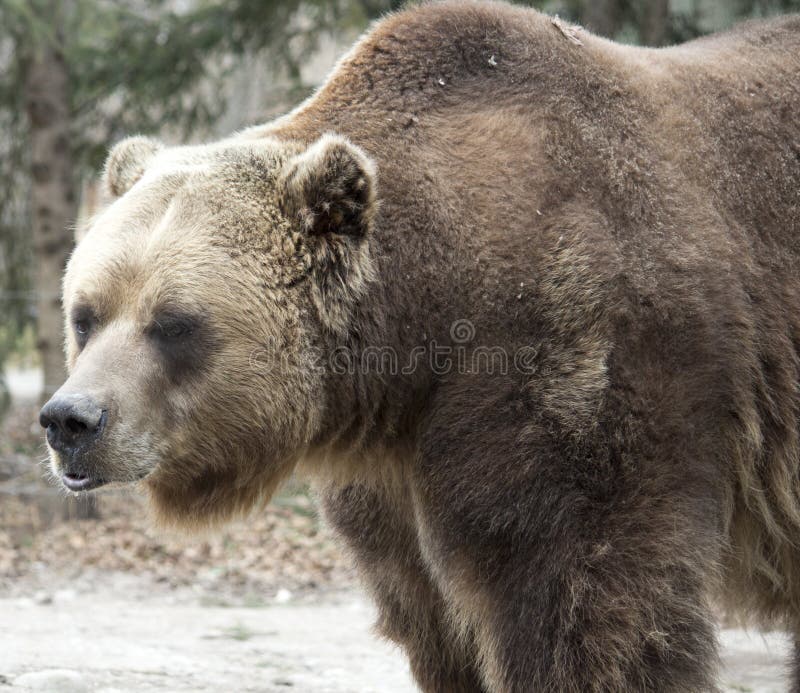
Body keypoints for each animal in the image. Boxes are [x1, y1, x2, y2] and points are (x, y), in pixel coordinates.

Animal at [38, 2, 800, 691]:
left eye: (173, 322)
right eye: (86, 315)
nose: (70, 419)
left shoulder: (585, 358)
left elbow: (593, 604)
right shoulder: (388, 481)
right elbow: (437, 623)